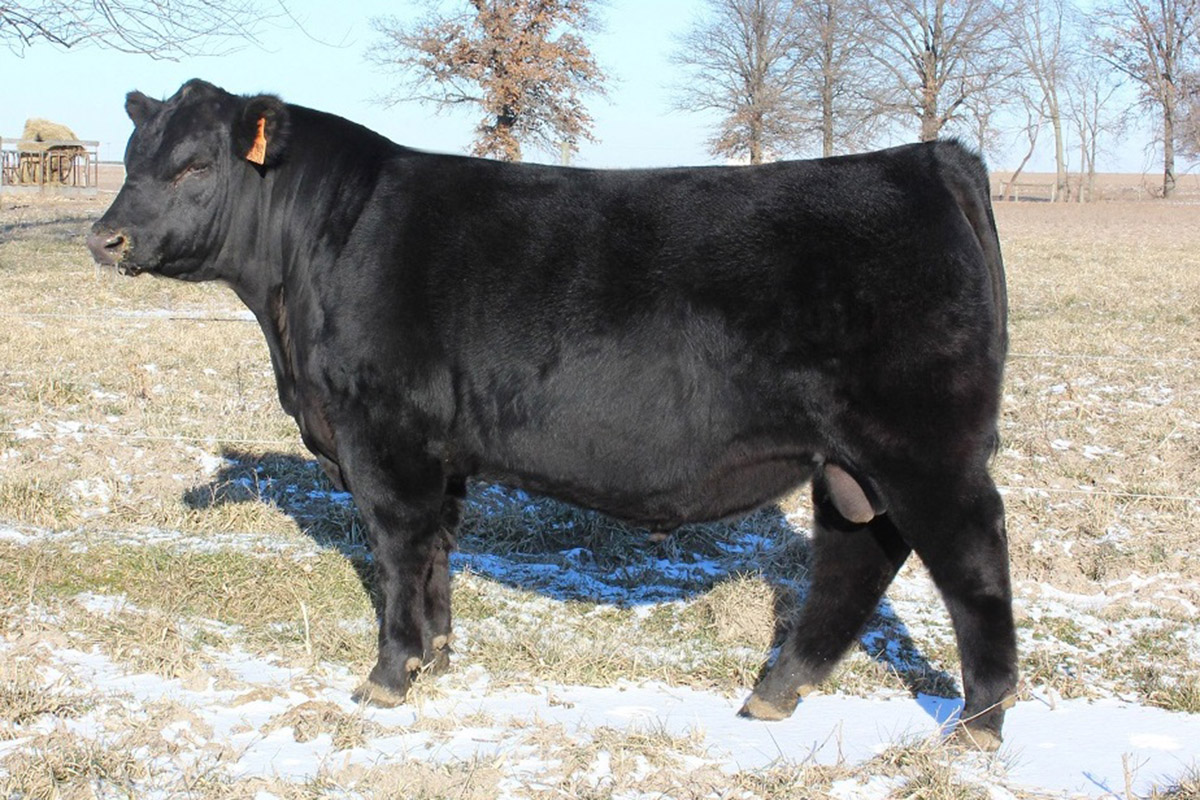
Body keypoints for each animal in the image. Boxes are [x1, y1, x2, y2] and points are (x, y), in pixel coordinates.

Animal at [87, 79, 1016, 750]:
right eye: (132, 156)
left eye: (195, 166)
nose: (105, 238)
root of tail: (928, 160)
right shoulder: (439, 454)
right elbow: (435, 553)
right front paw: (438, 657)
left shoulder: (382, 435)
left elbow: (396, 551)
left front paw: (387, 675)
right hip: (851, 463)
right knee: (858, 560)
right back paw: (774, 695)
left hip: (927, 446)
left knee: (971, 560)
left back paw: (979, 724)